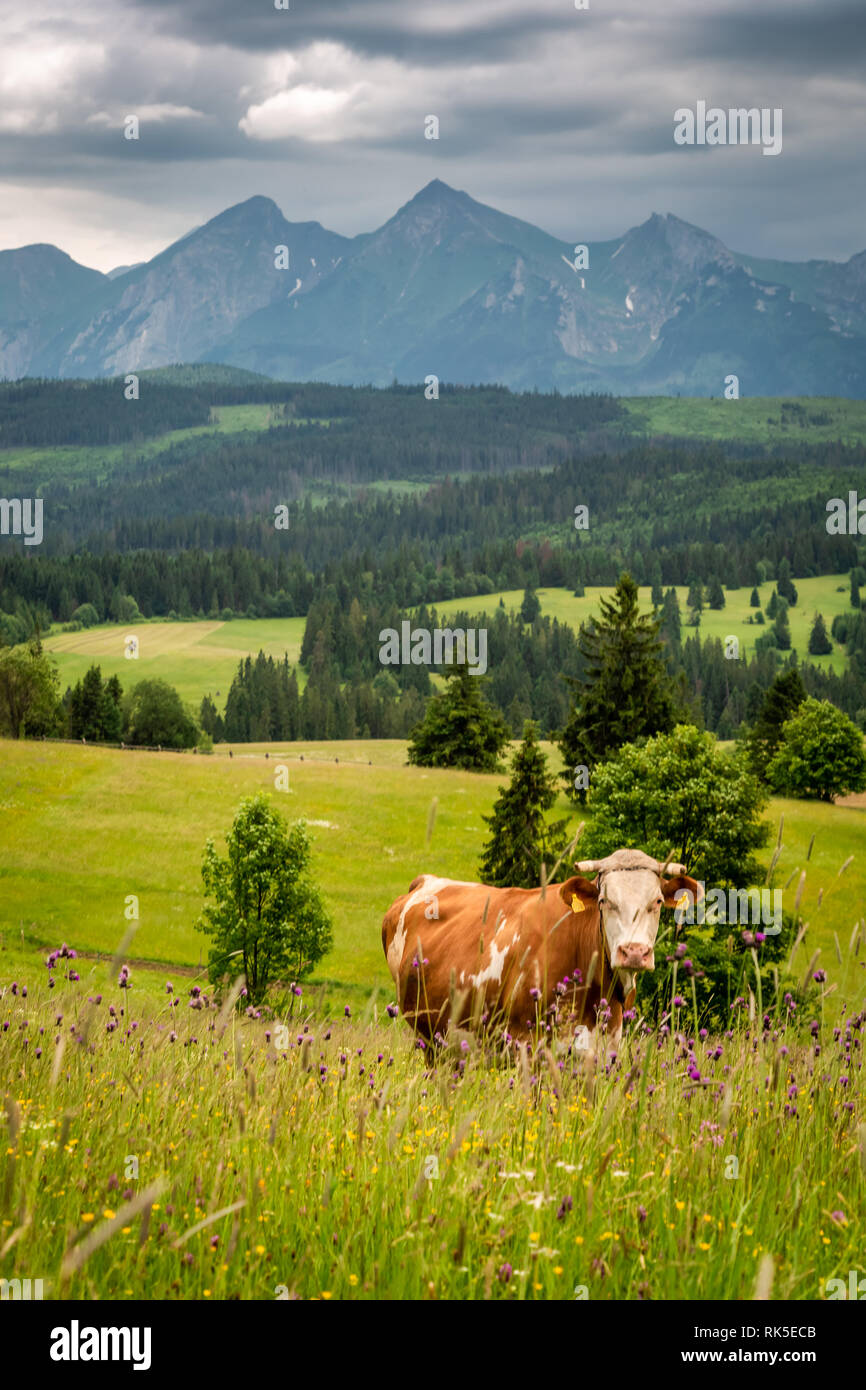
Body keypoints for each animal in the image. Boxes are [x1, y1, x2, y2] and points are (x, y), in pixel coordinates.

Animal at [381, 849, 703, 1052]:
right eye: (604, 900)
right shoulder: (527, 1044)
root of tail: (427, 880)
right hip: (428, 1037)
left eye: (657, 901)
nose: (634, 952)